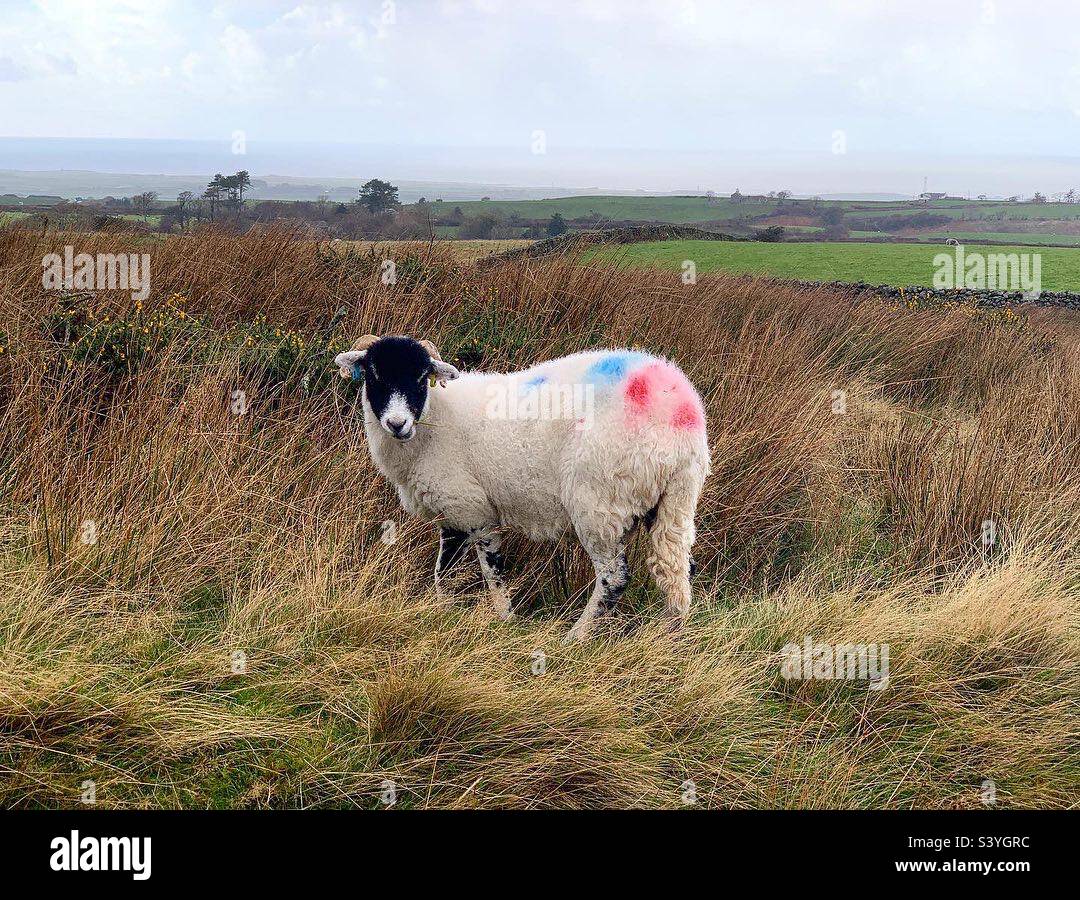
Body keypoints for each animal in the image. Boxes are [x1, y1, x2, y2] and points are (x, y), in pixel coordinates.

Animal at [334, 334, 710, 642]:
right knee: (677, 569)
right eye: (374, 375)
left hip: (599, 501)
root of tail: (678, 411)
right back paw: (669, 636)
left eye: (420, 376)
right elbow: (445, 574)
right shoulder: (452, 515)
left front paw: (503, 618)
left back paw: (576, 637)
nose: (397, 424)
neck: (433, 420)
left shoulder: (471, 509)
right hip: (676, 499)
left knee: (614, 577)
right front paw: (443, 612)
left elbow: (485, 572)